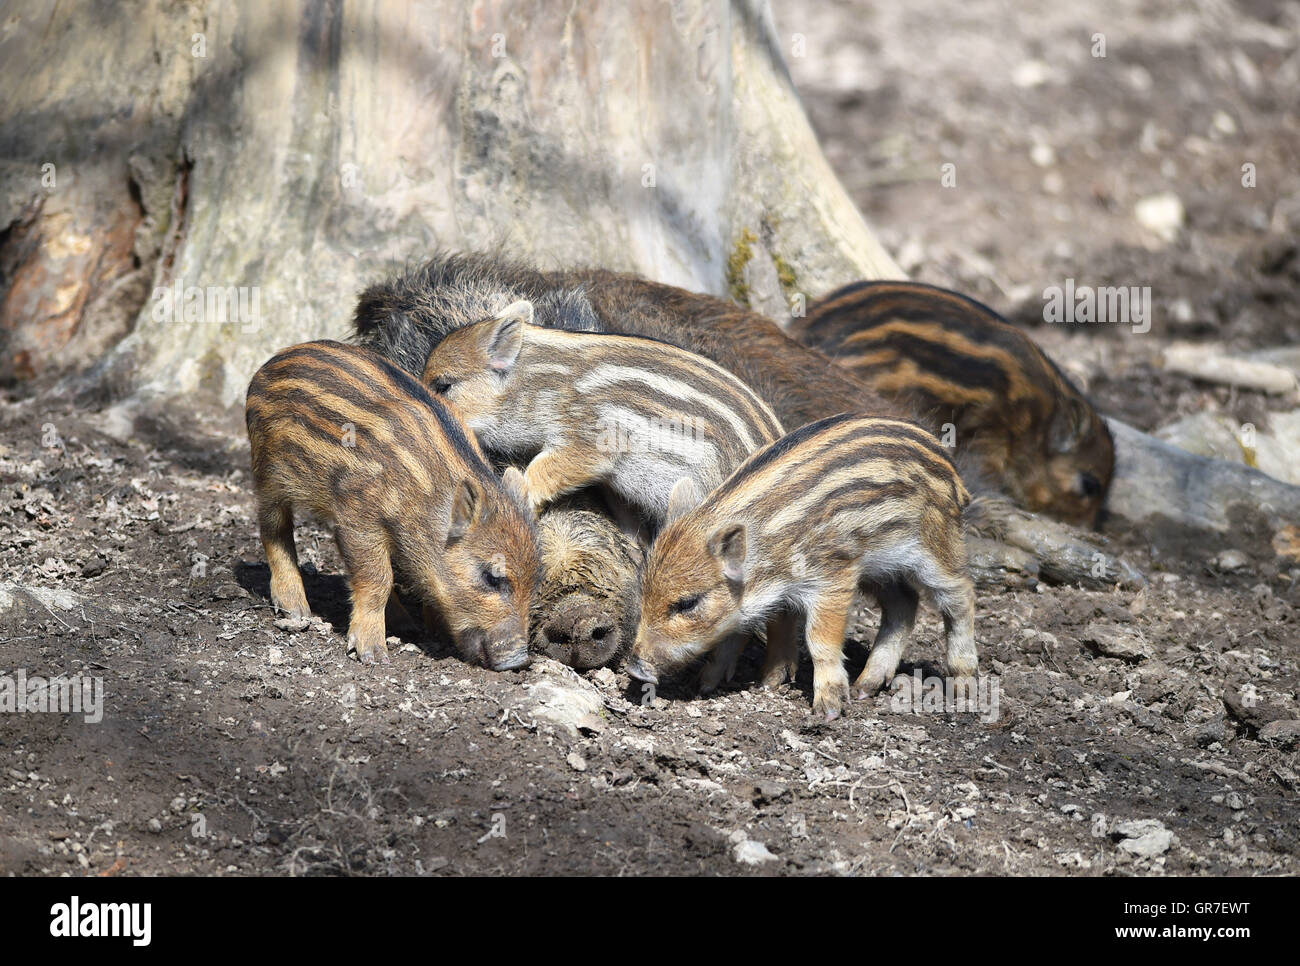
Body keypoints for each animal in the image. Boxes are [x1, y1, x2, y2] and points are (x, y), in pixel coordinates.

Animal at [245, 340, 539, 670]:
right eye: (492, 577)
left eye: (536, 578)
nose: (519, 660)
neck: (423, 492)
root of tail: (270, 363)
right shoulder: (357, 514)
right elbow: (378, 578)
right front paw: (372, 655)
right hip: (267, 472)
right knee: (272, 528)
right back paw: (295, 610)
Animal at [626, 414, 977, 720]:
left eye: (688, 603)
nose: (634, 667)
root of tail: (954, 473)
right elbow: (758, 630)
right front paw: (733, 683)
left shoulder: (834, 575)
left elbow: (819, 640)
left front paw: (828, 710)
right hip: (880, 568)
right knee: (904, 602)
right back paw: (864, 687)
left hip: (936, 549)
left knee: (960, 595)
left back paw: (963, 686)